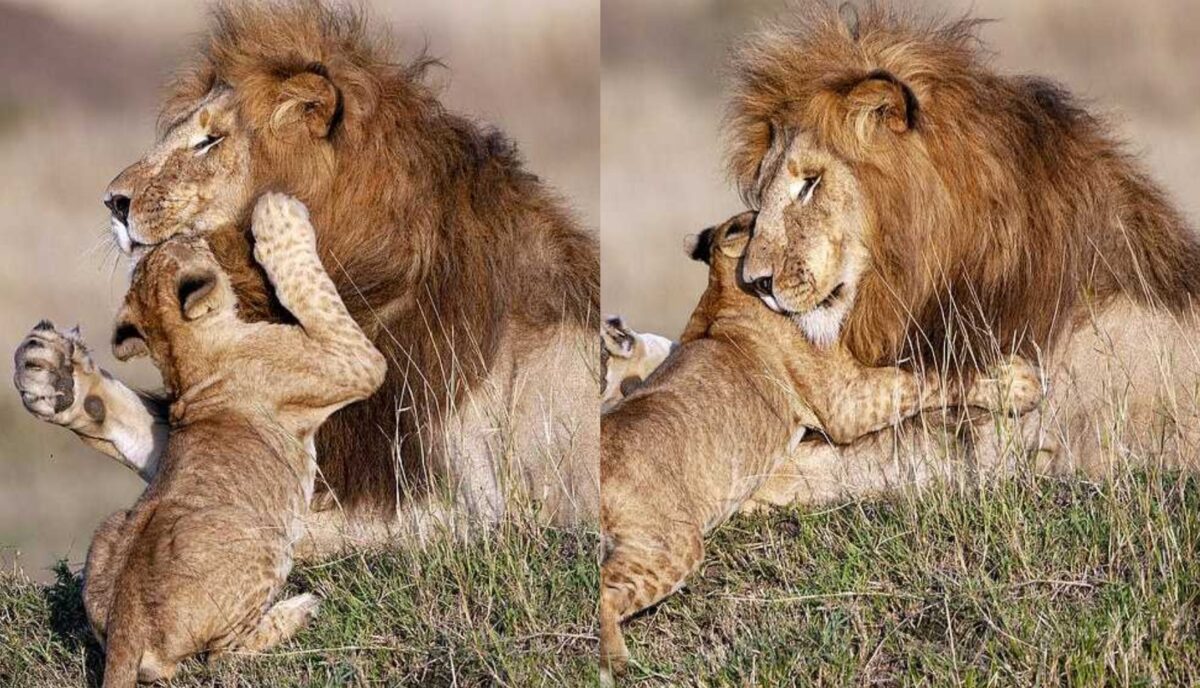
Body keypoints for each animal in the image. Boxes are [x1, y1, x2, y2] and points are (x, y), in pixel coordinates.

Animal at [78, 194, 386, 686]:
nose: (167, 236)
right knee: (221, 658)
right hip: (265, 540)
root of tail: (129, 622)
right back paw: (301, 609)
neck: (187, 357)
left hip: (110, 527)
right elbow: (314, 292)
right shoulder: (355, 362)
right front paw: (277, 215)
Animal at [598, 211, 1040, 681]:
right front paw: (1017, 382)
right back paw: (614, 664)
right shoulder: (846, 401)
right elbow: (925, 377)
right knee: (604, 590)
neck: (725, 292)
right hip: (669, 543)